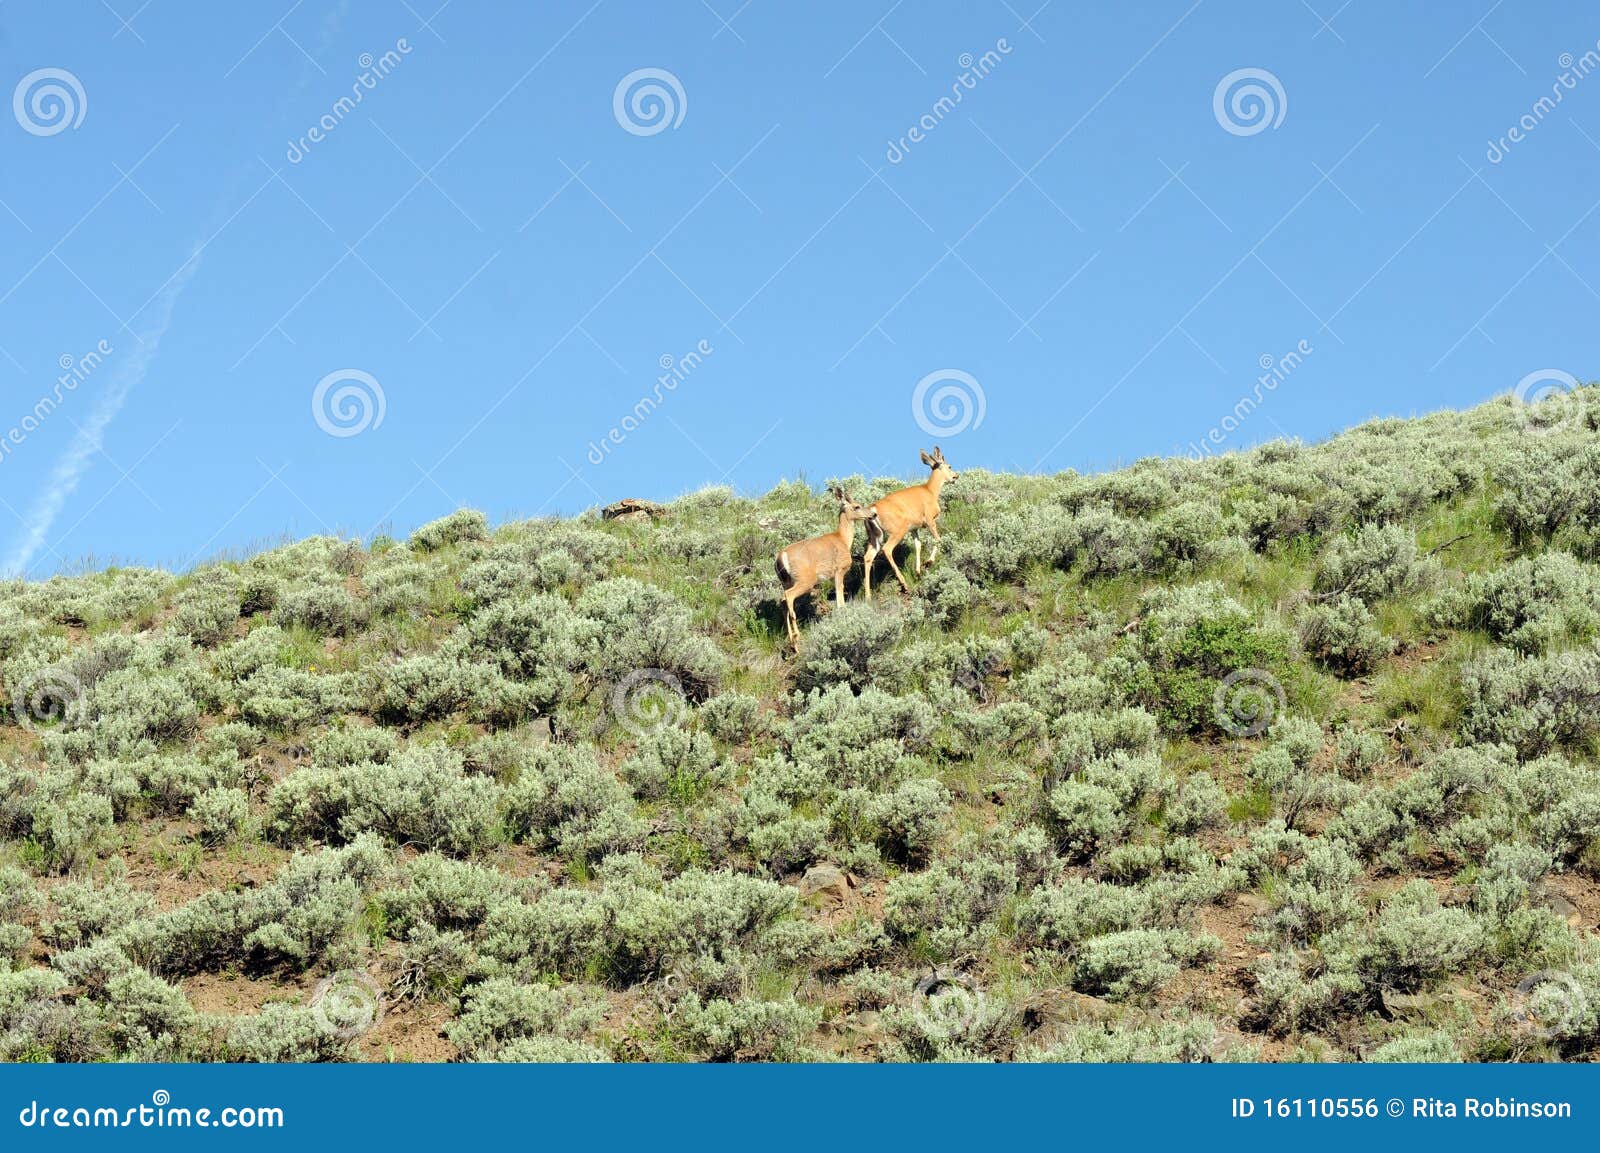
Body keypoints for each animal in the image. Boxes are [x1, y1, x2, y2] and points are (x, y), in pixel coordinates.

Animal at [775, 486, 879, 651]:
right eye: (857, 506)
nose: (873, 514)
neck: (842, 539)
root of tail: (781, 556)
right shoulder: (840, 569)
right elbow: (840, 598)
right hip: (805, 579)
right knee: (788, 597)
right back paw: (797, 638)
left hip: (786, 581)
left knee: (782, 600)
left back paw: (791, 641)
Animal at [862, 446, 959, 599]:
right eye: (949, 466)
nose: (956, 476)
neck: (931, 491)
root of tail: (873, 508)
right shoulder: (930, 519)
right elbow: (938, 539)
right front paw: (928, 562)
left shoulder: (914, 528)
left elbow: (918, 545)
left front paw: (918, 572)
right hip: (898, 529)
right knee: (887, 549)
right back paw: (904, 584)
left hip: (874, 536)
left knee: (867, 557)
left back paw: (868, 596)